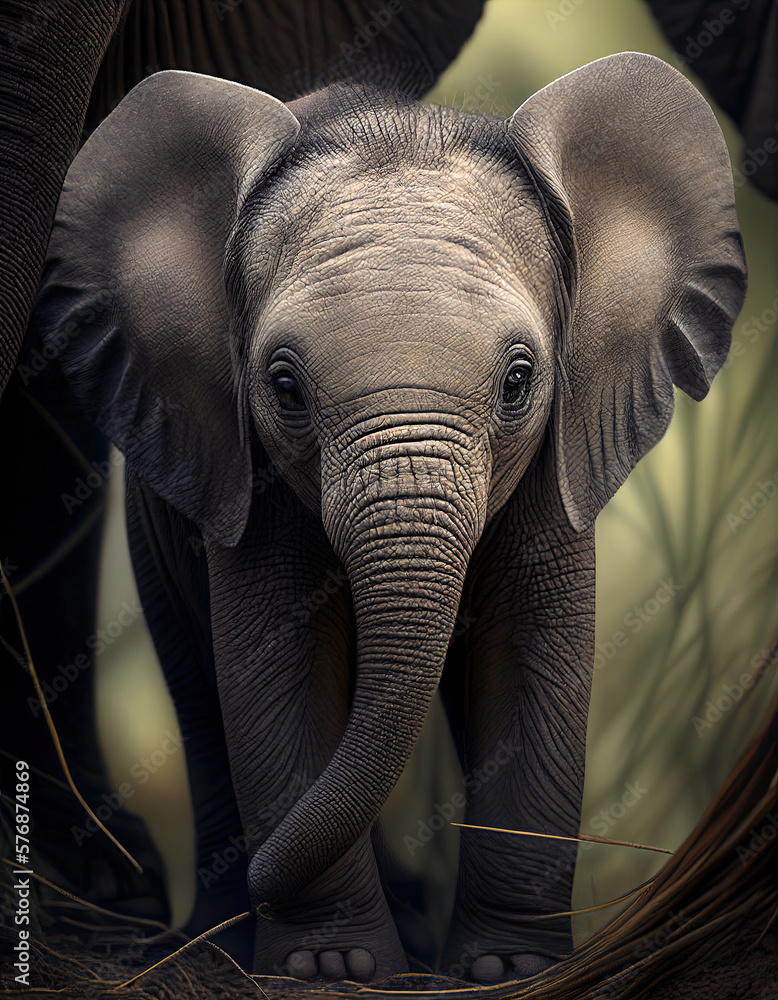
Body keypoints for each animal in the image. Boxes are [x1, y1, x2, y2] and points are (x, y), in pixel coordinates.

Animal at [14, 49, 746, 982]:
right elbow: (276, 667)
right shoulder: (244, 473)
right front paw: (332, 968)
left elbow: (531, 656)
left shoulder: (564, 449)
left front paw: (509, 971)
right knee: (200, 692)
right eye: (284, 387)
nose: (259, 880)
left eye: (519, 381)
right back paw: (213, 940)